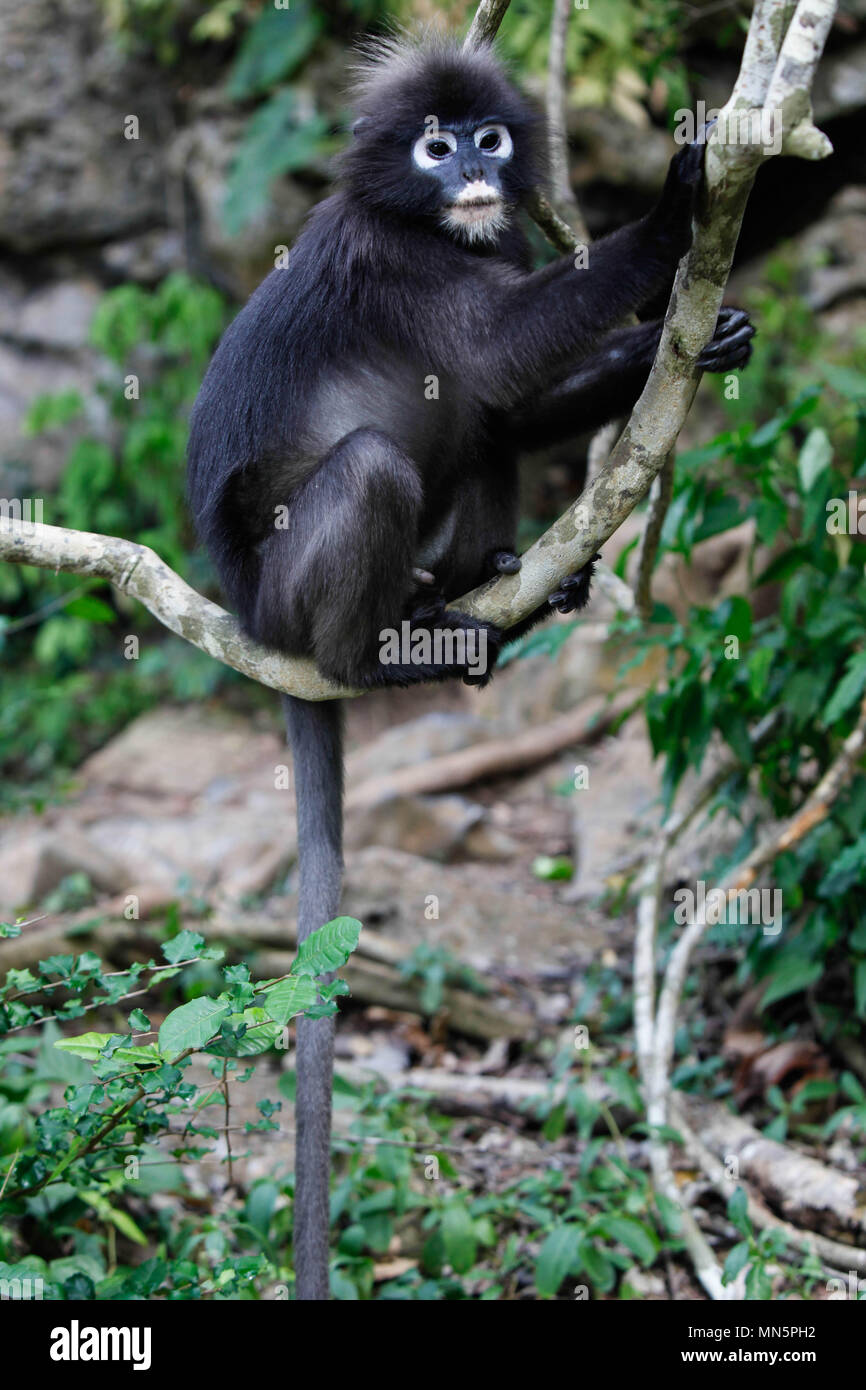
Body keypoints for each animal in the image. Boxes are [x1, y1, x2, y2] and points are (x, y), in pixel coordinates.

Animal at [186, 34, 755, 1300]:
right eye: (433, 147)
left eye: (489, 137)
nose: (477, 178)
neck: (437, 227)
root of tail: (248, 621)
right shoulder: (389, 257)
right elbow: (491, 353)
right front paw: (673, 206)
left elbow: (503, 390)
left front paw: (678, 339)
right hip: (291, 594)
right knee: (374, 466)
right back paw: (386, 654)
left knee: (481, 430)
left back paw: (497, 584)